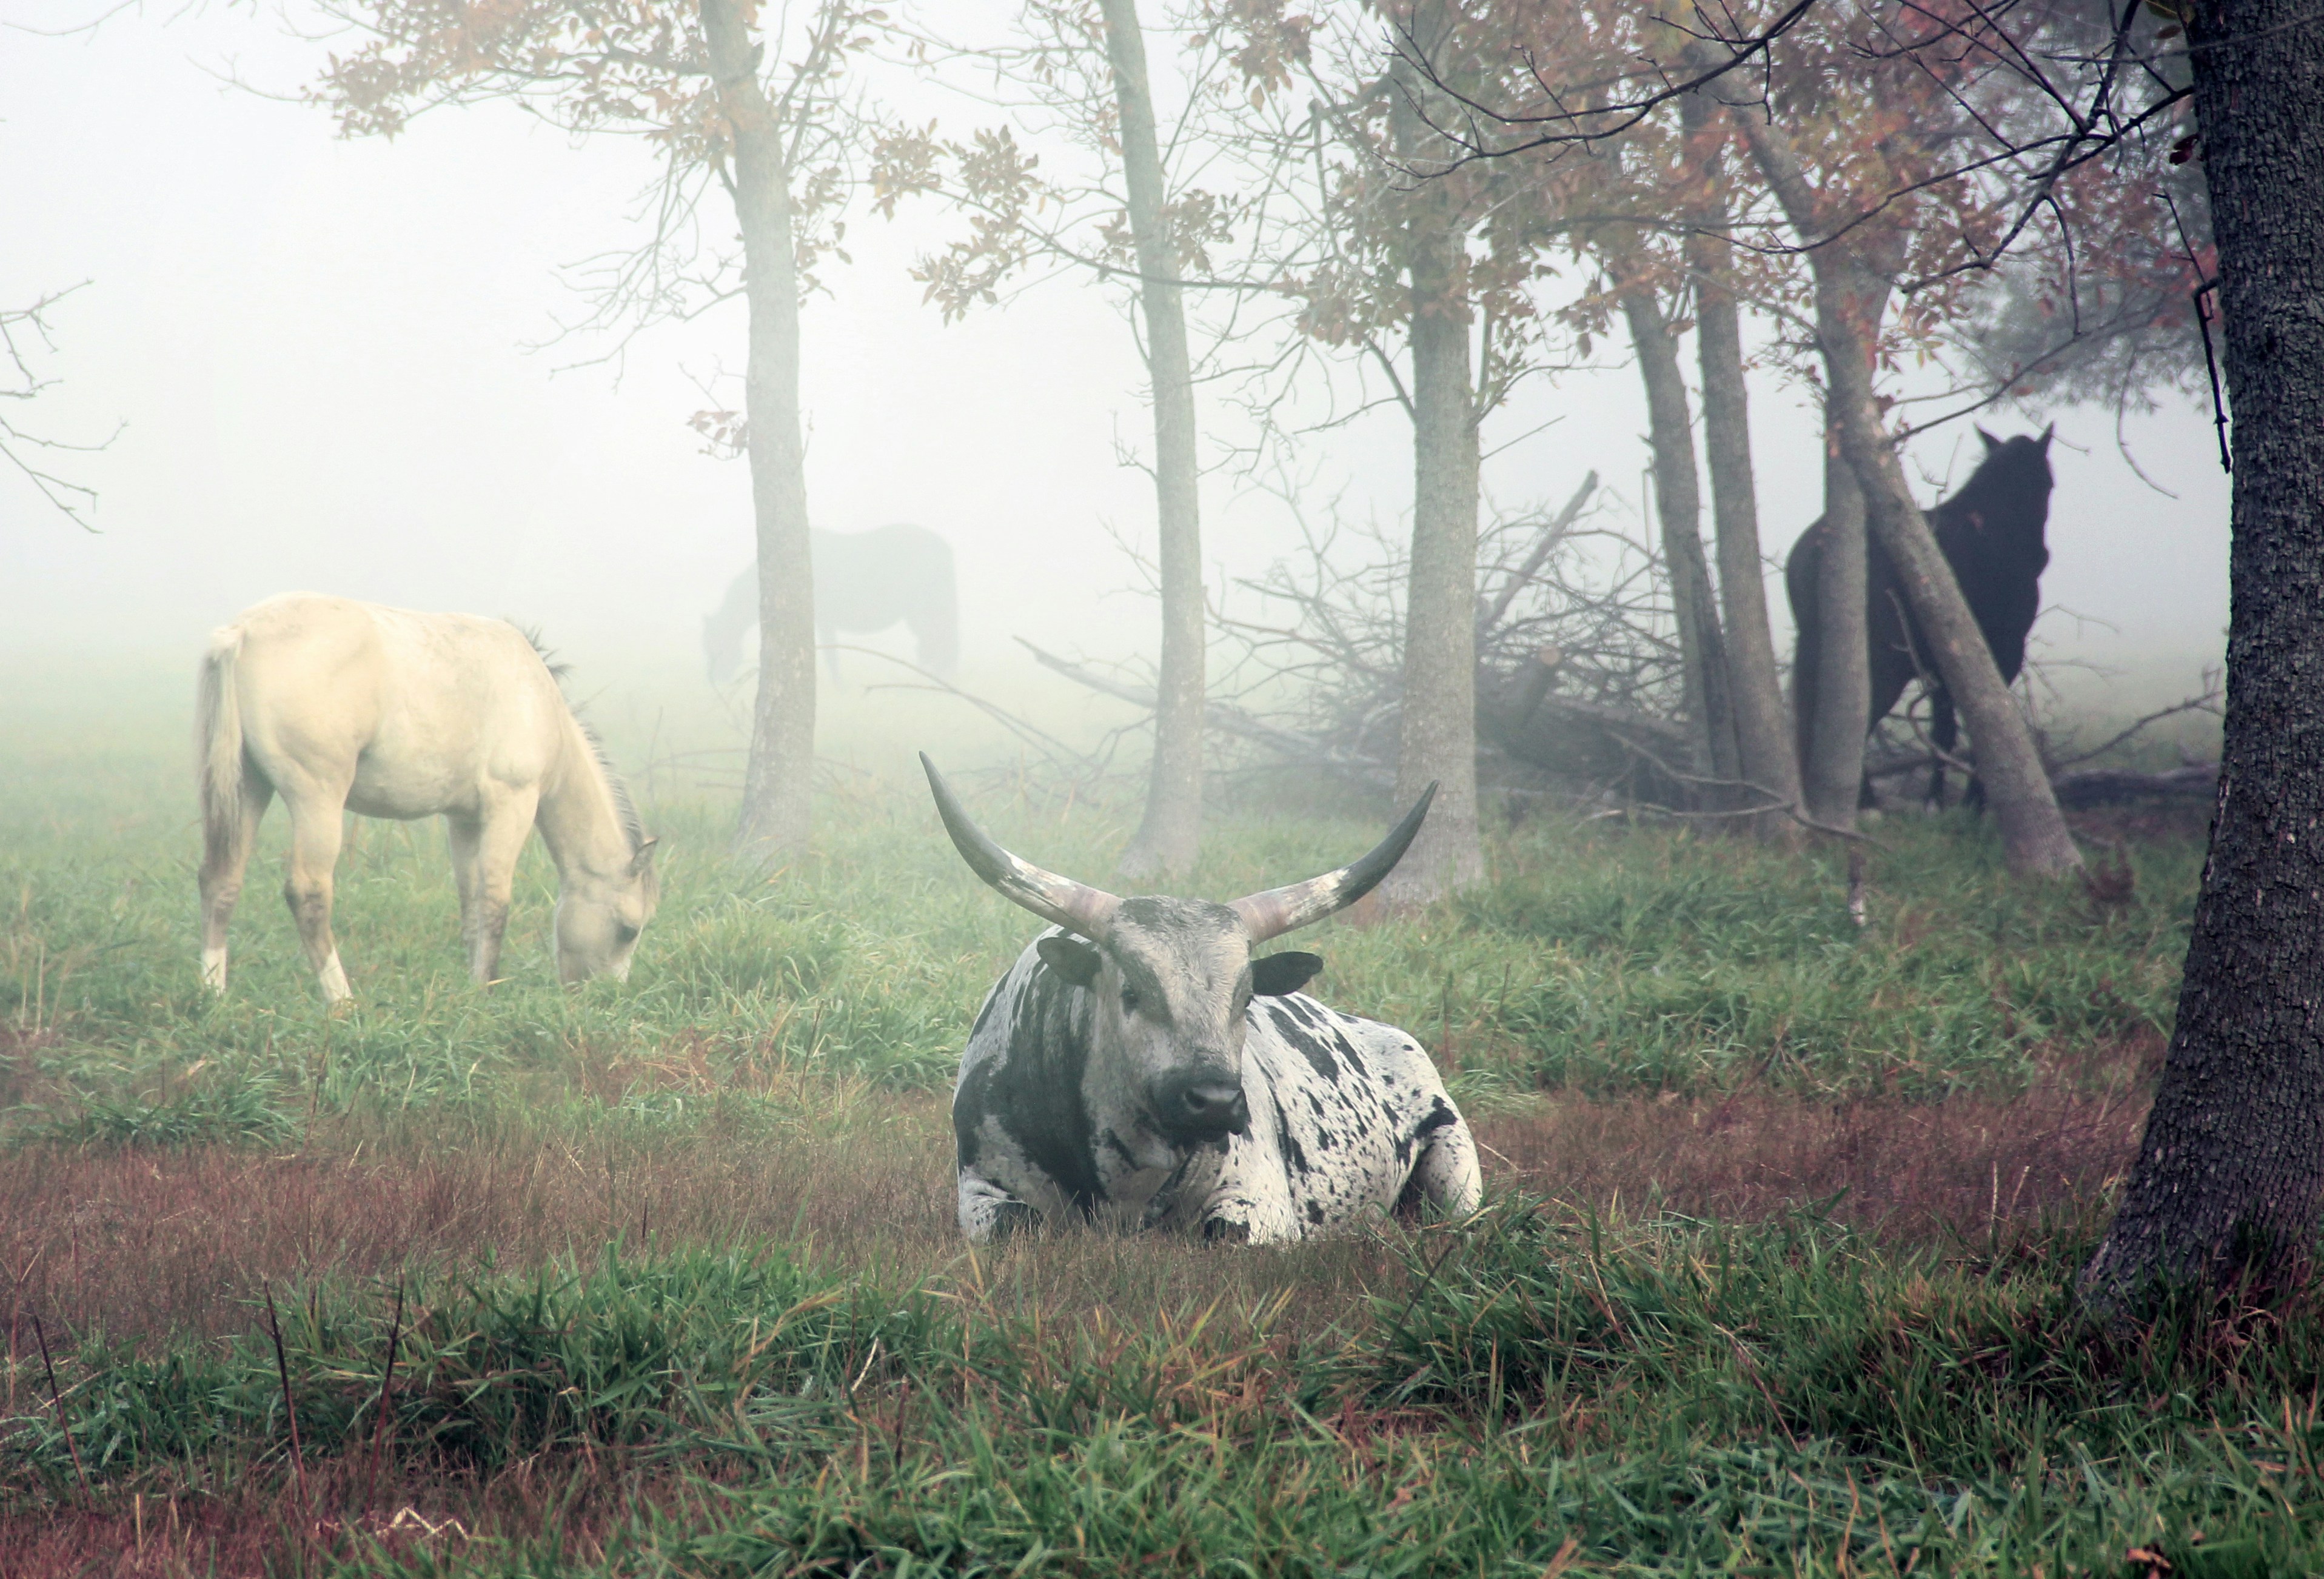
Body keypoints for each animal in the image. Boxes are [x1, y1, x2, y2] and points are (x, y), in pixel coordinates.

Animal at [196, 593, 660, 1003]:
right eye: (628, 930)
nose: (606, 998)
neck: (540, 705)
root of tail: (241, 634)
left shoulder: (465, 821)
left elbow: (472, 906)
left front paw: (473, 986)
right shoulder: (511, 807)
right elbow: (496, 903)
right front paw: (486, 993)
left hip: (248, 788)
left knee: (221, 879)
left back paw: (212, 993)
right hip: (318, 798)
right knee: (308, 894)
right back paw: (342, 1001)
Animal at [704, 523, 959, 683]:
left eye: (717, 643)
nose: (715, 681)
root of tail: (945, 549)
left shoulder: (824, 622)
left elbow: (830, 656)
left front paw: (839, 686)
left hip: (928, 608)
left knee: (940, 641)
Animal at [922, 755, 1484, 1244]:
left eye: (1246, 996)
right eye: (1132, 990)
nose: (1213, 1099)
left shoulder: (1261, 1202)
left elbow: (1223, 1232)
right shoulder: (981, 1190)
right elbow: (1018, 1223)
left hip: (1457, 1162)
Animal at [1786, 426, 2056, 808]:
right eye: (2047, 483)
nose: (2042, 556)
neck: (1995, 528)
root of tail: (1808, 553)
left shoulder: (1943, 662)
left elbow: (1943, 731)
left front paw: (1937, 801)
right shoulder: (2005, 650)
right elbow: (1992, 724)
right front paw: (1974, 802)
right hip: (1886, 663)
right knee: (1853, 722)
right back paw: (1865, 803)